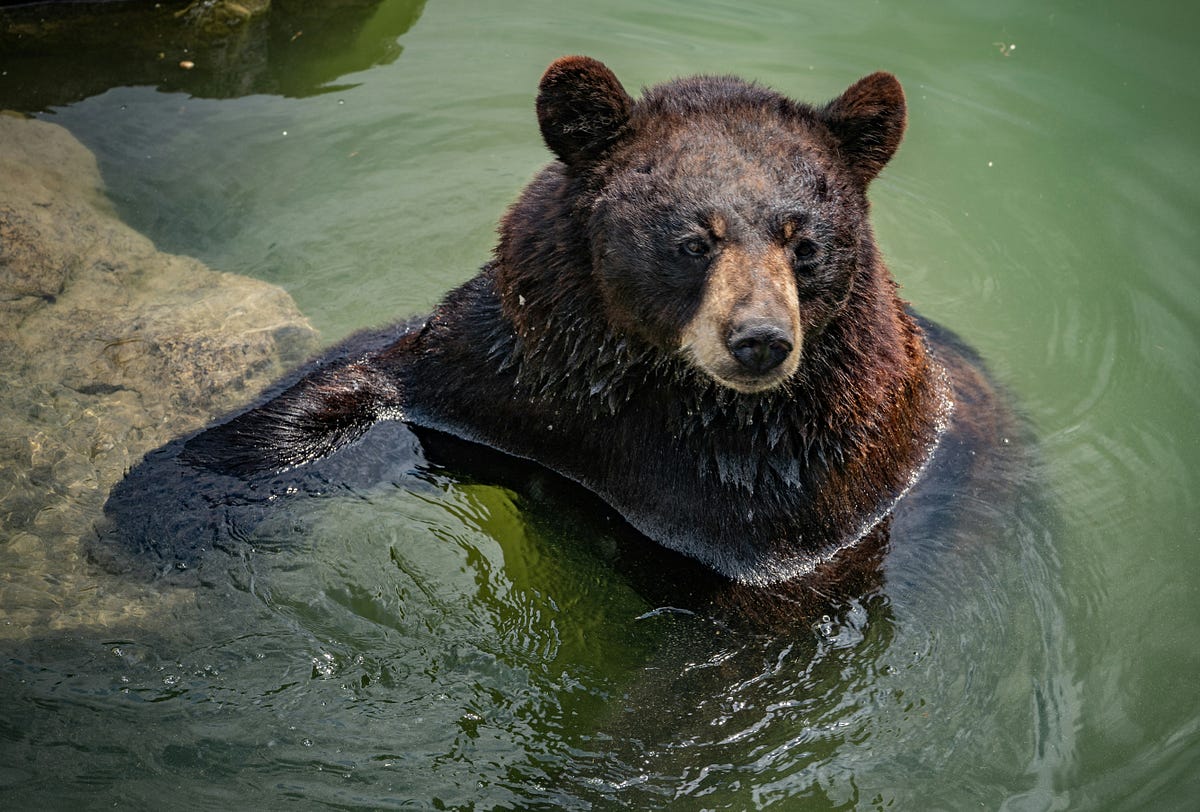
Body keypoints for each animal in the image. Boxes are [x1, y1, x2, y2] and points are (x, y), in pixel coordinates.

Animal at [97, 56, 1015, 604]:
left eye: (804, 240)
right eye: (694, 237)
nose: (759, 340)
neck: (653, 388)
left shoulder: (791, 494)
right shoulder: (512, 371)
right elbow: (361, 388)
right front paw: (161, 501)